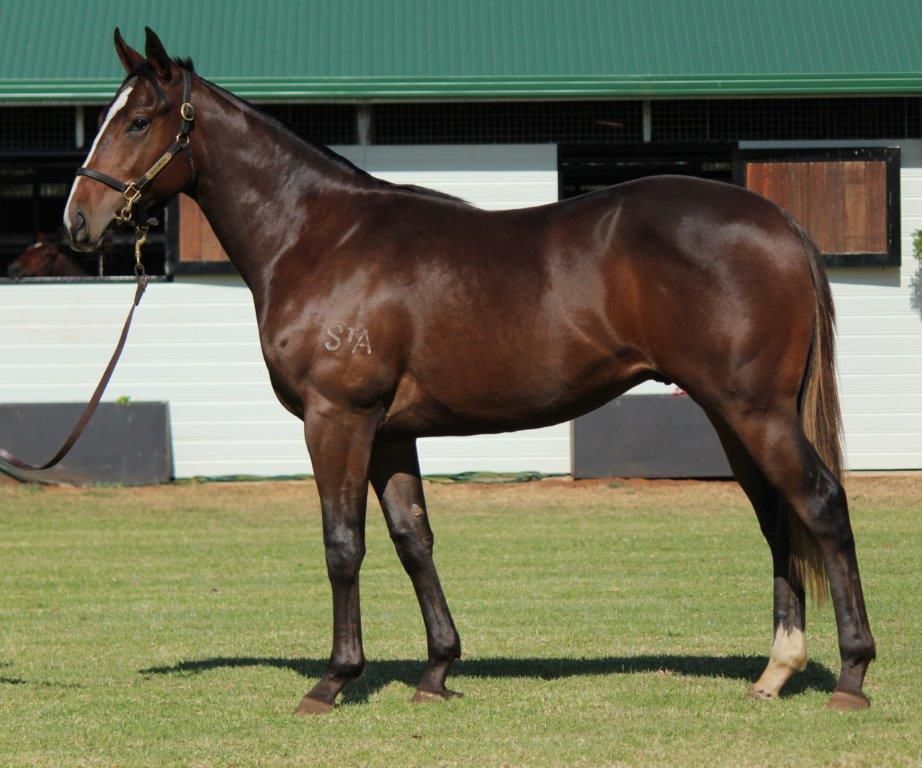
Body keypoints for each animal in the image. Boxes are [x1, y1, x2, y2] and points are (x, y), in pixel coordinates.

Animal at [62, 28, 875, 714]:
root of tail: (780, 222)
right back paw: (776, 672)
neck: (320, 237)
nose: (77, 224)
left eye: (139, 121)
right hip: (732, 414)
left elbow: (342, 543)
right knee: (778, 518)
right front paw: (437, 671)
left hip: (752, 409)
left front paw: (333, 681)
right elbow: (412, 540)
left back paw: (852, 676)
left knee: (821, 504)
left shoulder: (338, 419)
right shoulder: (390, 432)